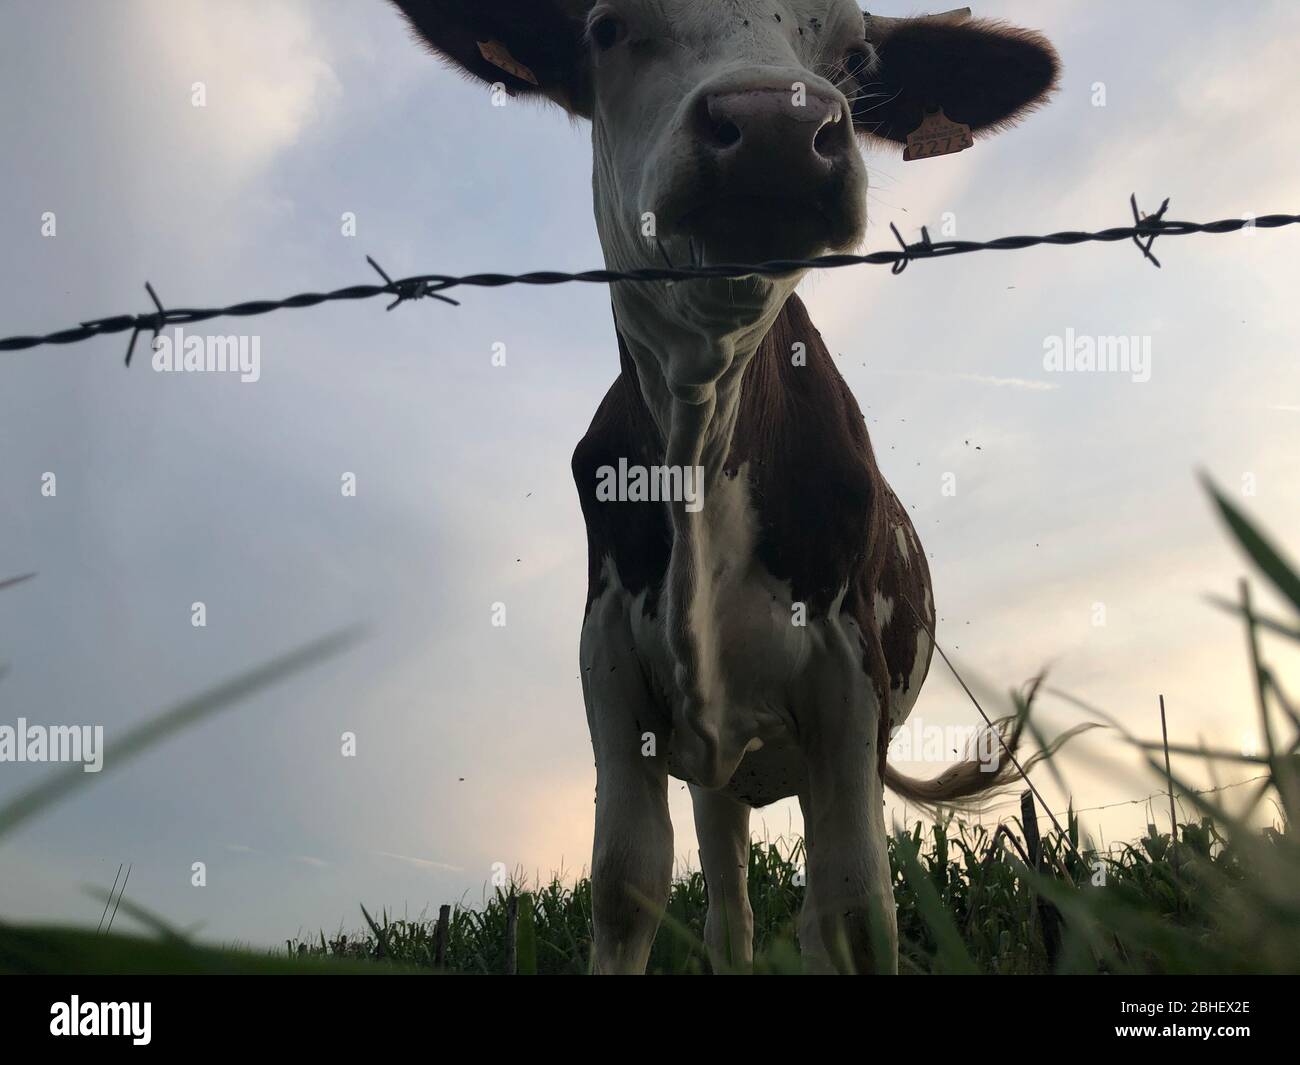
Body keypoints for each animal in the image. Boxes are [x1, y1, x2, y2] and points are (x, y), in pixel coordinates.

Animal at [389, 0, 1058, 973]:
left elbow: (857, 904)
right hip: (720, 772)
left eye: (858, 56)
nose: (778, 125)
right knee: (729, 909)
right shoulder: (609, 666)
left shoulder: (848, 684)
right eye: (604, 28)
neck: (704, 428)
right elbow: (627, 882)